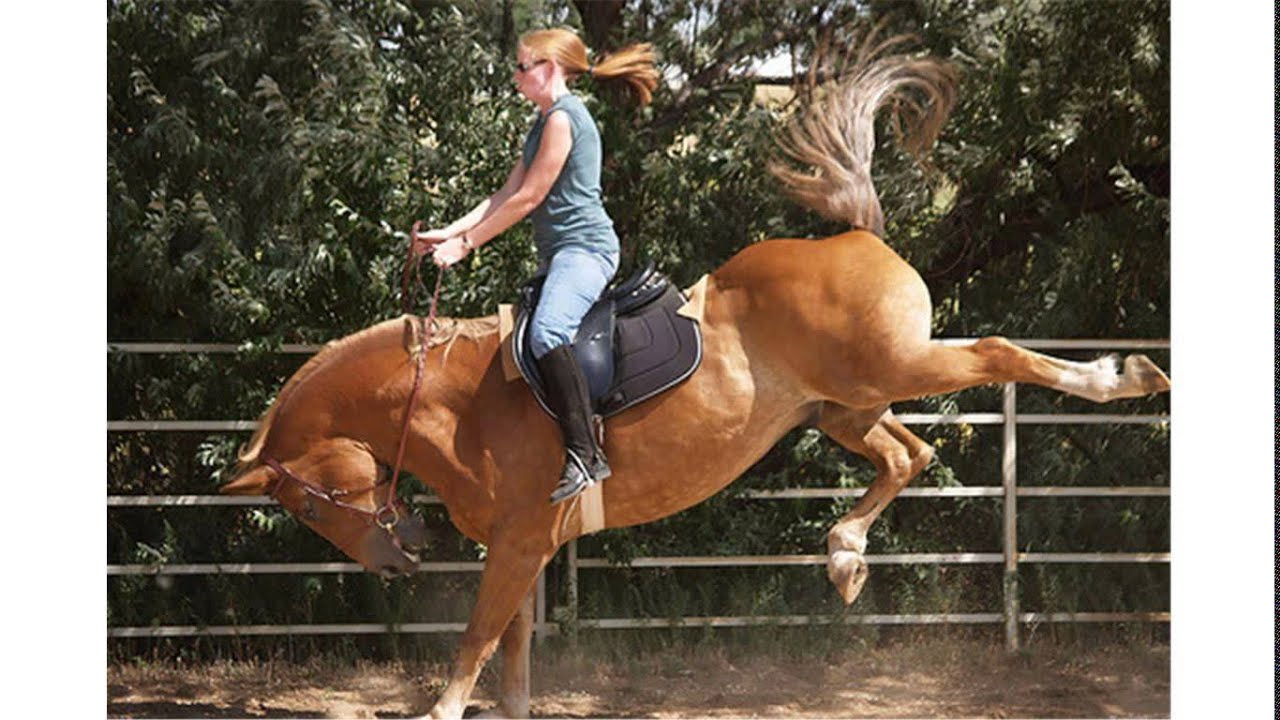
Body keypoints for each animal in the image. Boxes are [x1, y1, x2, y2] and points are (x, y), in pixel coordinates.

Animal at [221, 36, 1170, 719]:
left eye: (309, 506)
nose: (397, 560)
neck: (451, 402)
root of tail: (854, 232)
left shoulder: (521, 544)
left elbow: (473, 652)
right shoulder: (522, 550)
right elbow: (512, 669)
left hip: (894, 365)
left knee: (998, 355)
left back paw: (1124, 376)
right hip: (839, 407)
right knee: (910, 455)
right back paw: (844, 556)